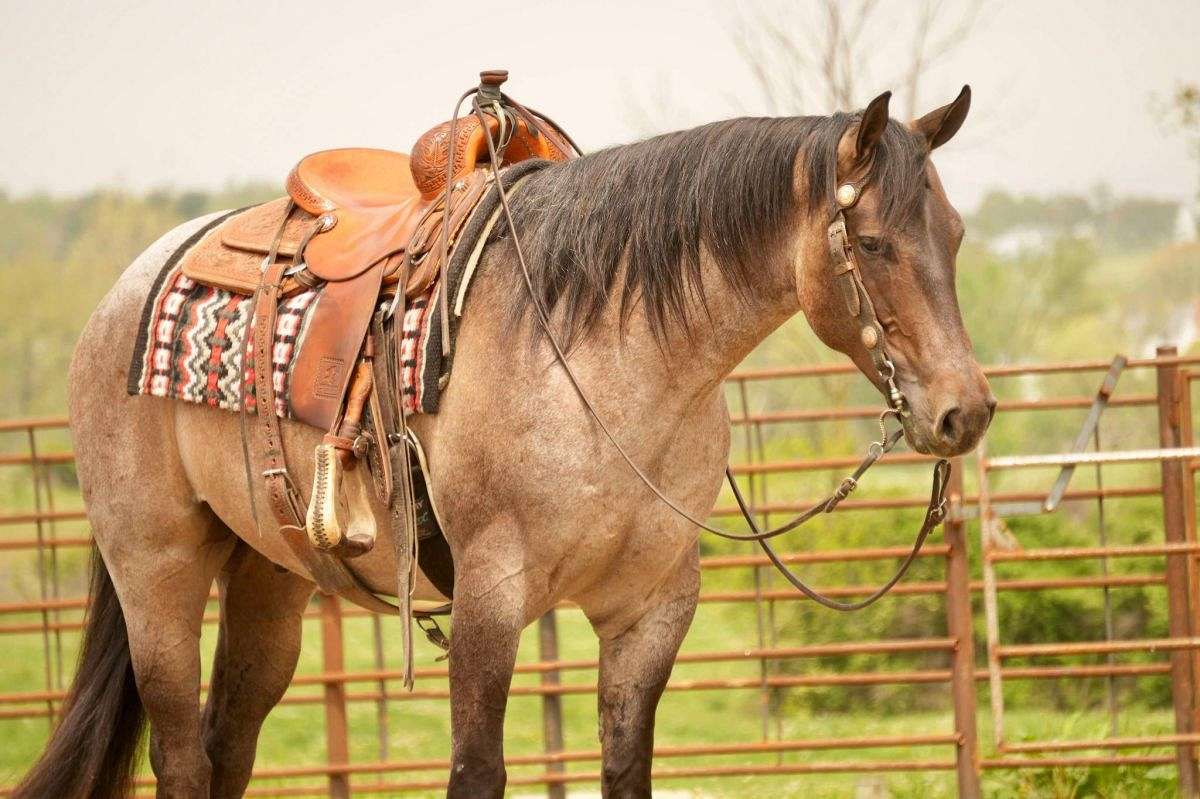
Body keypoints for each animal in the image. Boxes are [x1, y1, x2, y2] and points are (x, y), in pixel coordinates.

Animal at [16, 86, 994, 799]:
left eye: (955, 236)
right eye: (873, 242)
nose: (965, 411)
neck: (607, 357)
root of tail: (132, 284)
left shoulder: (650, 609)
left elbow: (625, 768)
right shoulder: (491, 597)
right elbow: (476, 771)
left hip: (269, 570)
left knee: (232, 738)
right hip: (158, 567)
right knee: (182, 752)